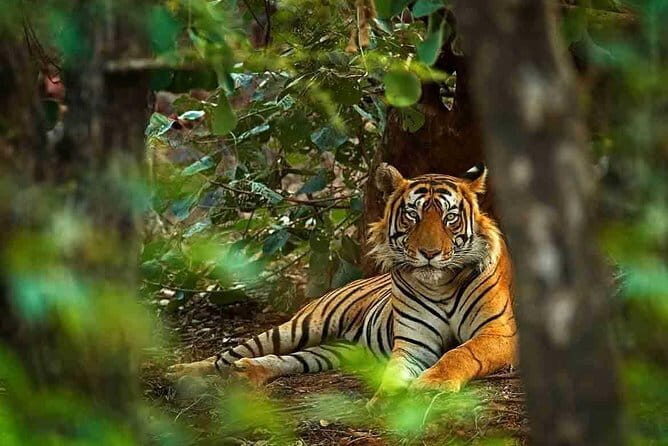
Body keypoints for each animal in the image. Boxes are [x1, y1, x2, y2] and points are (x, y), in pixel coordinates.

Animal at [167, 163, 517, 400]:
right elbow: (395, 371)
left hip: (335, 350)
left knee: (287, 360)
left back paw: (247, 372)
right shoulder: (413, 342)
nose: (429, 253)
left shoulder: (499, 332)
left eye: (450, 218)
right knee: (228, 354)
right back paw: (181, 372)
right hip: (299, 326)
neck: (440, 283)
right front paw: (386, 399)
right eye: (412, 216)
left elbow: (460, 353)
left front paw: (433, 384)